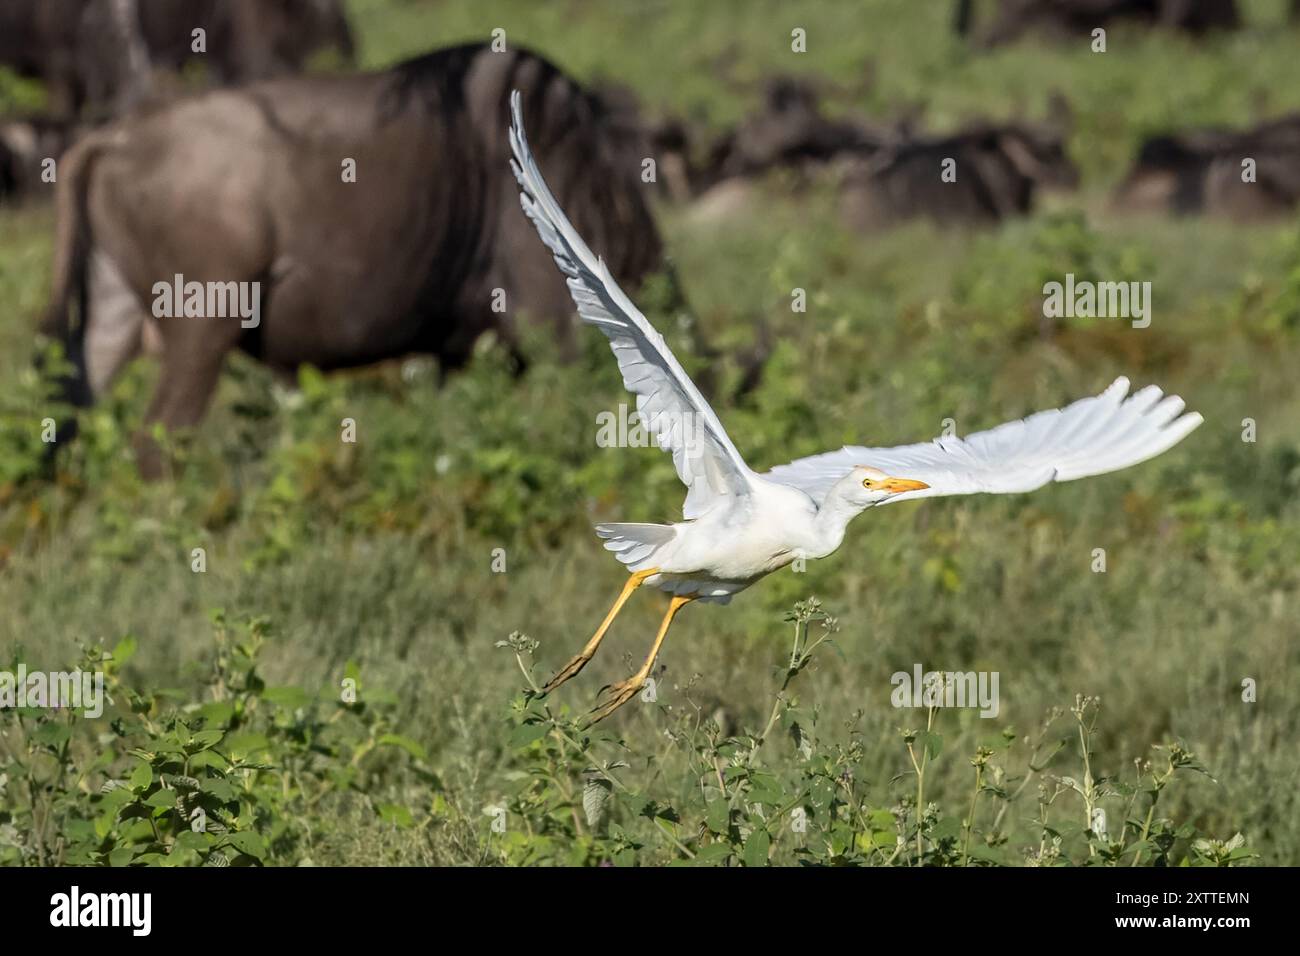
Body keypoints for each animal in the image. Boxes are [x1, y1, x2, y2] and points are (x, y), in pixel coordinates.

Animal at [40, 44, 668, 477]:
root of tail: (115, 137)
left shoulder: (453, 355)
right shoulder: (552, 331)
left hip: (111, 320)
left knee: (67, 425)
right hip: (203, 328)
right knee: (157, 441)